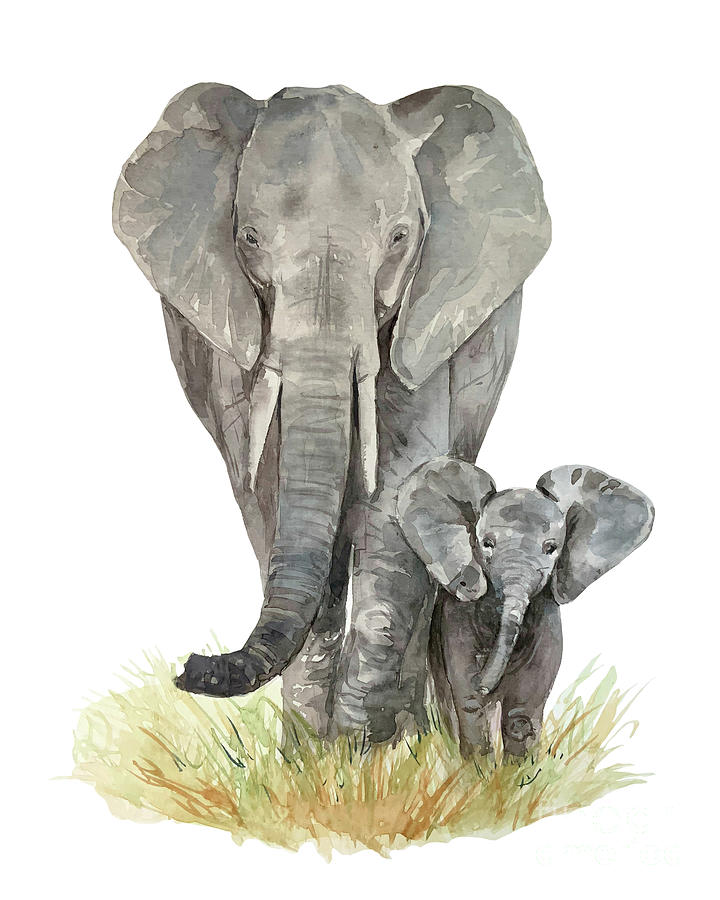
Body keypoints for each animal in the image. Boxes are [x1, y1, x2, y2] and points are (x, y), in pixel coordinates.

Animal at [112, 82, 551, 742]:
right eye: (249, 238)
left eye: (399, 238)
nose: (191, 667)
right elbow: (264, 486)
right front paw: (309, 755)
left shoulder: (424, 316)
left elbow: (399, 483)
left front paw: (365, 750)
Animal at [396, 458, 654, 756]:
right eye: (487, 544)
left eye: (551, 548)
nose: (485, 684)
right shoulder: (456, 617)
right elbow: (469, 702)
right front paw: (475, 769)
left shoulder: (547, 622)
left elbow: (521, 713)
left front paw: (518, 770)